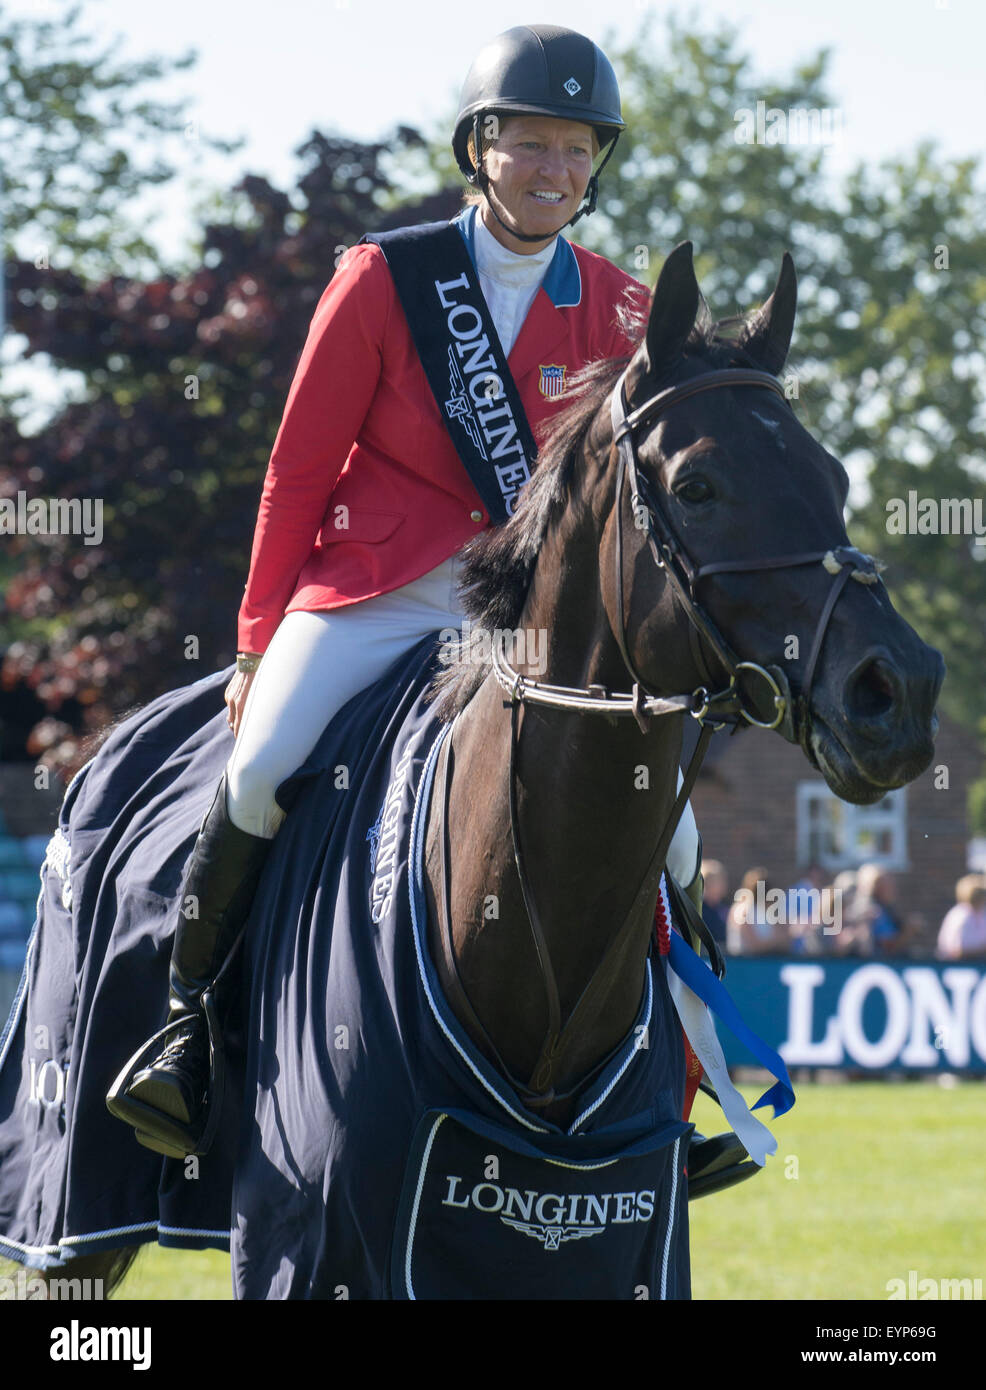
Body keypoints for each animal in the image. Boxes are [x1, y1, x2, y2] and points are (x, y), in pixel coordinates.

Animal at [0, 242, 943, 1299]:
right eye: (698, 484)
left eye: (835, 475)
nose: (899, 689)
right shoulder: (313, 1248)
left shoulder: (620, 1244)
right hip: (68, 1206)